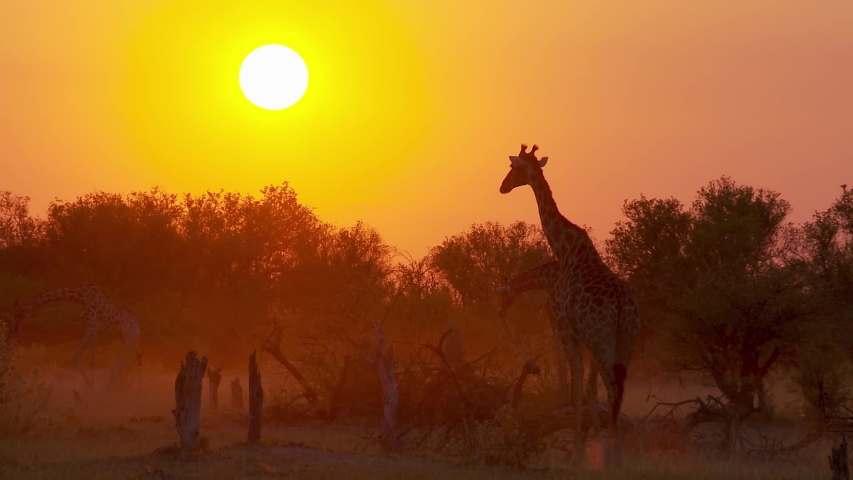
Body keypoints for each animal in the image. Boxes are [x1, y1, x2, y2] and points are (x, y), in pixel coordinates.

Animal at [12, 285, 142, 388]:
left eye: (18, 314)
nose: (16, 329)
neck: (81, 297)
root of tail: (138, 327)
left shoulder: (92, 326)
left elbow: (91, 359)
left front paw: (91, 386)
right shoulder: (91, 328)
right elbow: (77, 354)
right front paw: (88, 384)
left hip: (129, 336)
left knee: (136, 358)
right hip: (123, 337)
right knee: (127, 358)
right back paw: (112, 385)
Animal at [495, 261, 601, 417]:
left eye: (504, 296)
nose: (501, 313)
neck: (547, 280)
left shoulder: (556, 319)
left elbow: (561, 362)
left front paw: (562, 399)